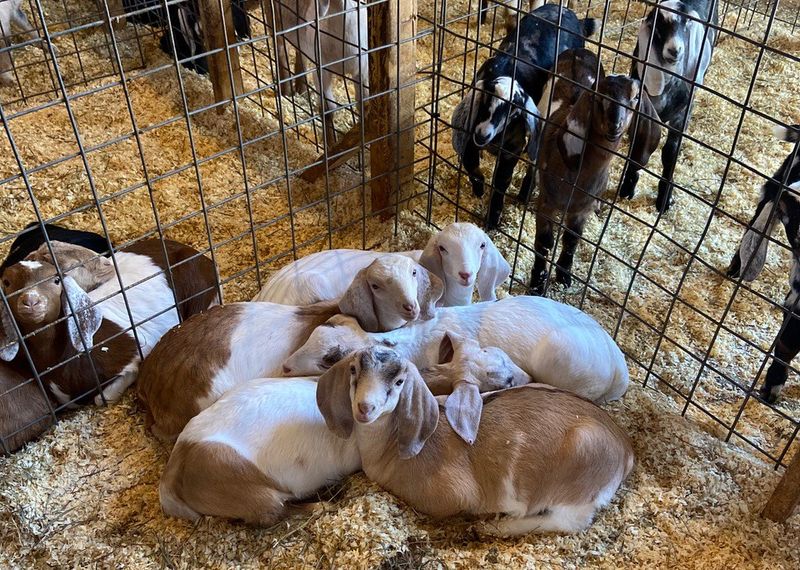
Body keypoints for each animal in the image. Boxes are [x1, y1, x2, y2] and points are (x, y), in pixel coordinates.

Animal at [317, 347, 634, 535]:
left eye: (398, 382)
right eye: (354, 370)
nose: (365, 407)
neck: (390, 449)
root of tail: (627, 450)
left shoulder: (452, 497)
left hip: (578, 478)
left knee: (569, 522)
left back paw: (496, 528)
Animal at [451, 4, 596, 230]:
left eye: (514, 112)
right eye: (485, 99)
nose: (483, 135)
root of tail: (568, 12)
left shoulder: (512, 149)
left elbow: (500, 183)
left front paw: (492, 219)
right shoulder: (471, 130)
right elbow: (471, 163)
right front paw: (479, 189)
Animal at [528, 49, 661, 295]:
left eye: (635, 97)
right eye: (599, 97)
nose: (614, 125)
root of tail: (578, 52)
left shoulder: (581, 211)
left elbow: (571, 240)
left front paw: (564, 276)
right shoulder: (546, 203)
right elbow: (544, 241)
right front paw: (537, 283)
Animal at [618, 0, 718, 212]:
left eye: (687, 24)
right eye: (657, 27)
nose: (675, 50)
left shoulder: (682, 114)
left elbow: (671, 152)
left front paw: (665, 198)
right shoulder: (642, 108)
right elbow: (638, 143)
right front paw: (628, 185)